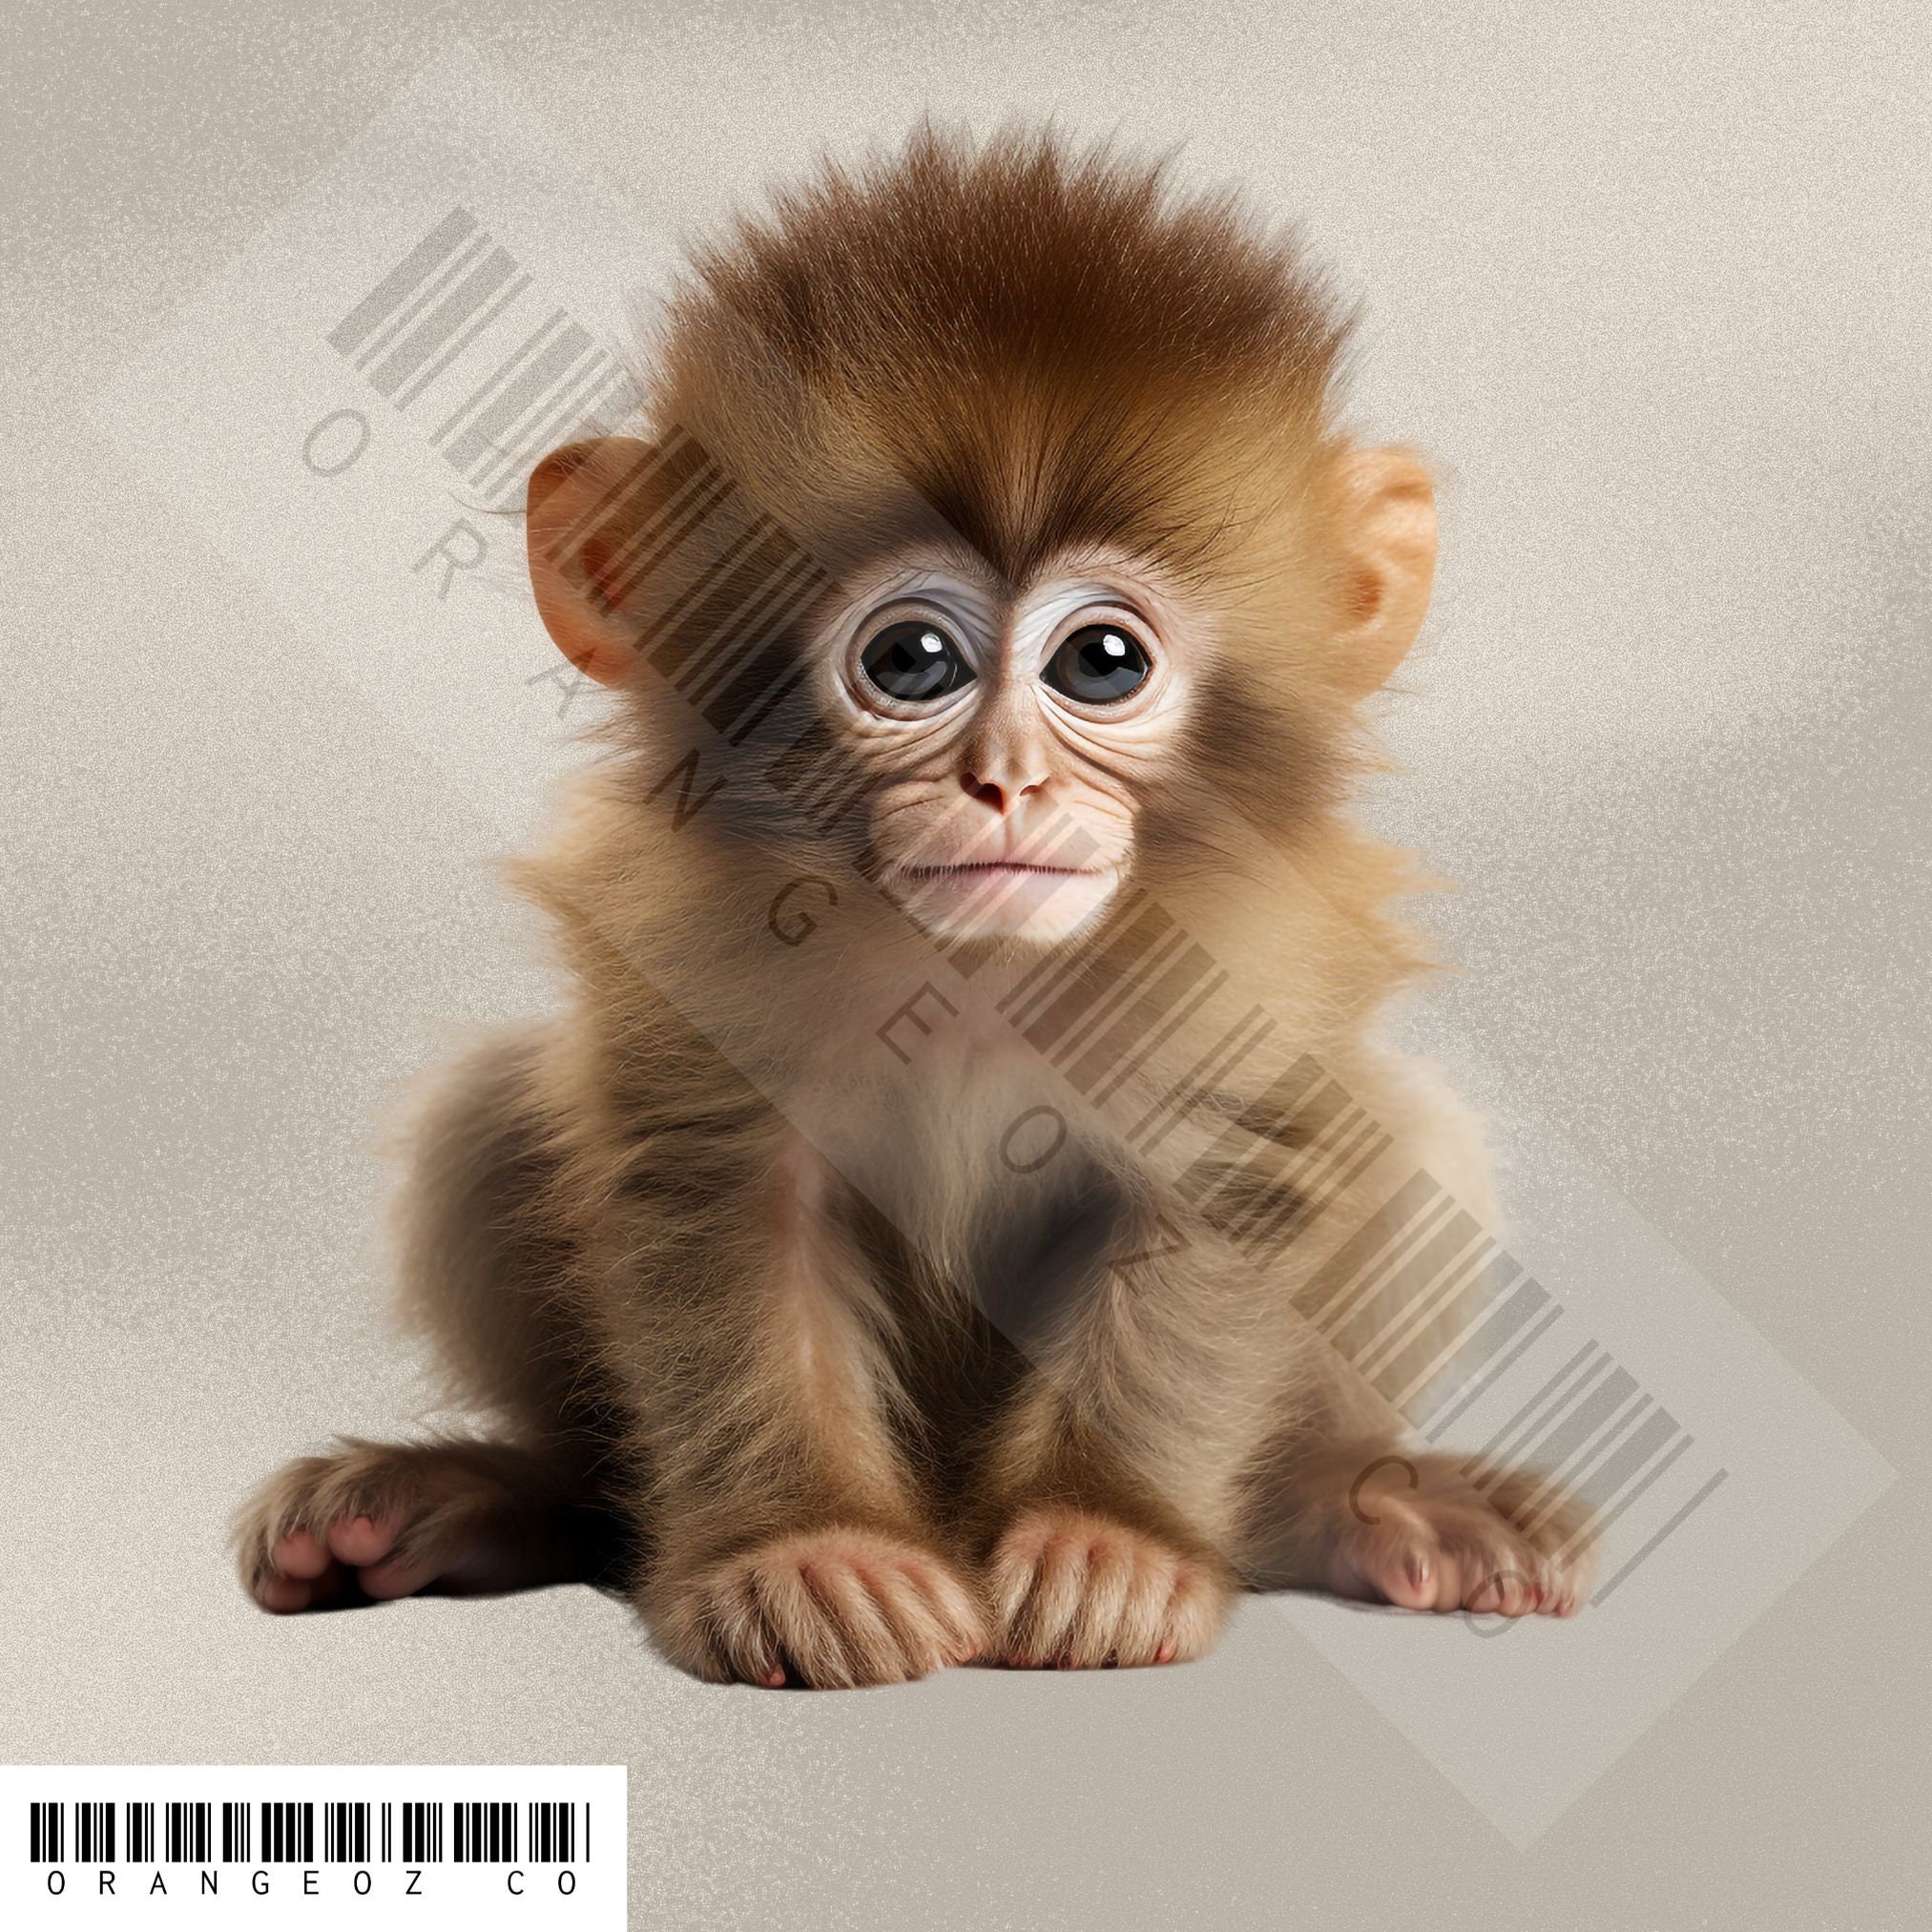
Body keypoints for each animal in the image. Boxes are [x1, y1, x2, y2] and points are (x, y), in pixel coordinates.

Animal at [234, 126, 1595, 1686]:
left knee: (1408, 1123)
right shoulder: (691, 972)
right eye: (913, 659)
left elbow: (1214, 1189)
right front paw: (805, 1551)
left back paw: (1362, 1505)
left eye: (1106, 662)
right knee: (485, 1112)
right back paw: (470, 1499)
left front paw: (1110, 1537)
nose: (1004, 781)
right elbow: (722, 1202)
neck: (971, 964)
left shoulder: (1255, 976)